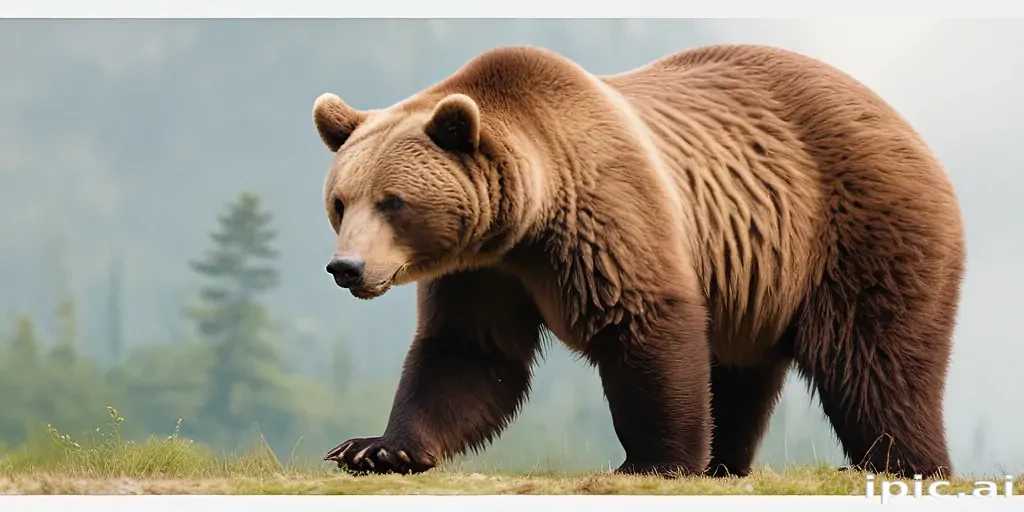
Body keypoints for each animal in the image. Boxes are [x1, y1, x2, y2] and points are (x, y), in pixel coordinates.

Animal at [311, 44, 965, 479]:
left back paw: (908, 461)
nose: (346, 269)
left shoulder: (604, 214)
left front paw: (653, 460)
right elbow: (467, 354)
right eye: (341, 201)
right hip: (753, 282)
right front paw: (375, 447)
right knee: (739, 374)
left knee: (877, 362)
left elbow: (643, 322)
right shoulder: (484, 271)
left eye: (393, 201)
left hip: (860, 227)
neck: (527, 220)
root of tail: (903, 122)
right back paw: (727, 461)